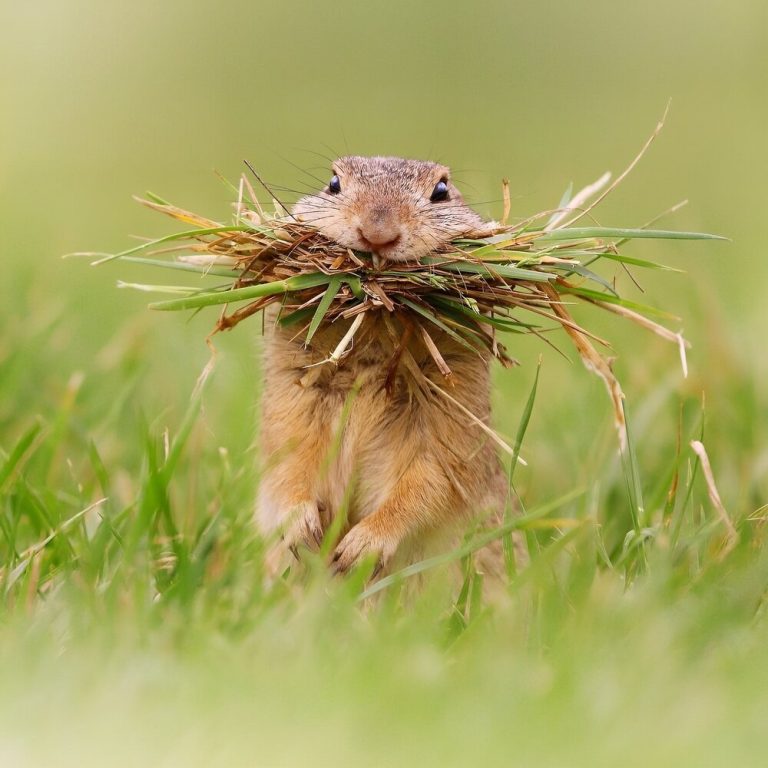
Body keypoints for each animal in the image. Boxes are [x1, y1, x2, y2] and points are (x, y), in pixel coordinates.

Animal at [256, 156, 519, 579]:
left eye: (441, 191)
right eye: (333, 184)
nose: (377, 232)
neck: (376, 332)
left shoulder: (453, 409)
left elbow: (432, 481)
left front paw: (360, 547)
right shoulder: (292, 389)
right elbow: (286, 457)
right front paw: (302, 528)